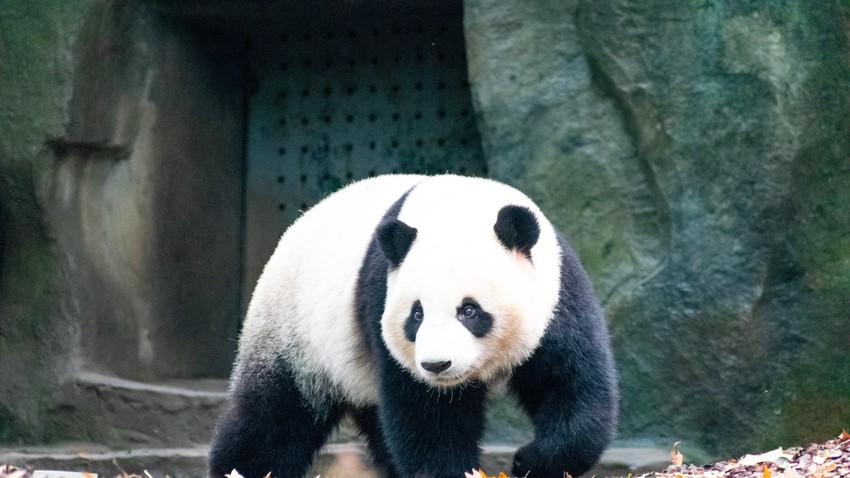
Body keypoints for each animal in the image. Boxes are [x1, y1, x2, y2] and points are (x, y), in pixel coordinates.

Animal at [208, 174, 618, 478]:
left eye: (469, 311)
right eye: (416, 314)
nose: (438, 365)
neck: (458, 208)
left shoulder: (557, 297)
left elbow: (573, 387)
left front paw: (530, 461)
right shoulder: (382, 299)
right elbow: (426, 416)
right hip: (295, 331)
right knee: (275, 416)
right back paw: (240, 468)